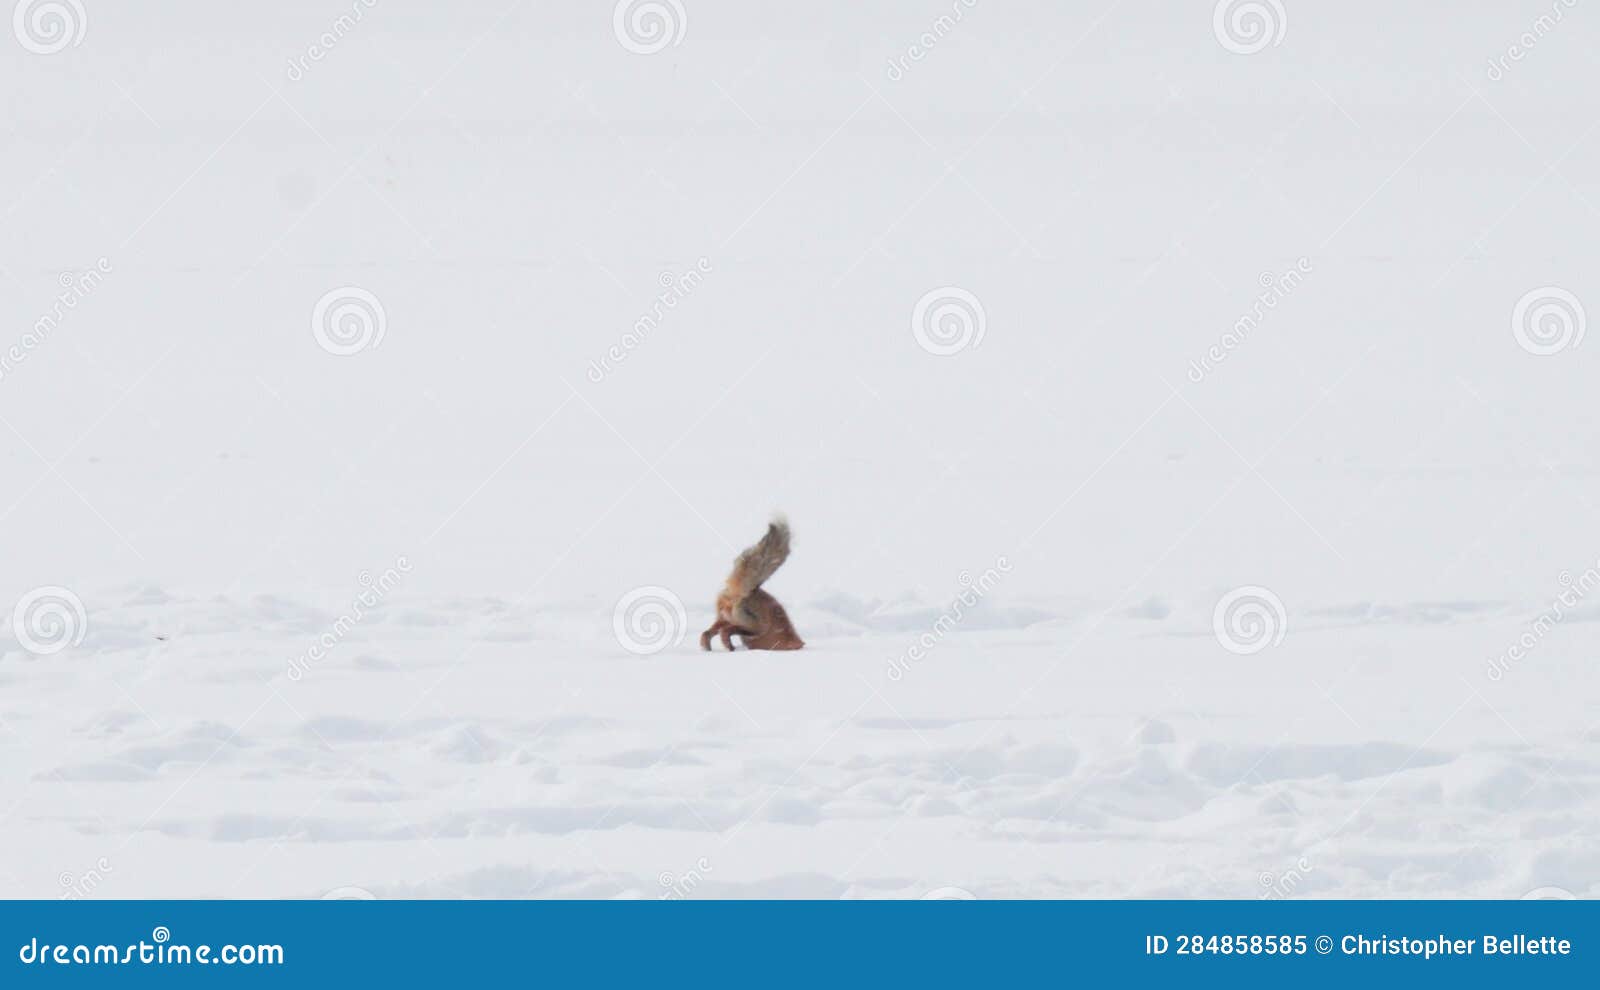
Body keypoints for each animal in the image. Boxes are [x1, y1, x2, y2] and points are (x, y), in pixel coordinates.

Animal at [700, 515, 805, 651]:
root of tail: (750, 590)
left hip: (724, 619)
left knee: (707, 633)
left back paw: (708, 648)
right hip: (754, 628)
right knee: (727, 631)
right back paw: (730, 647)